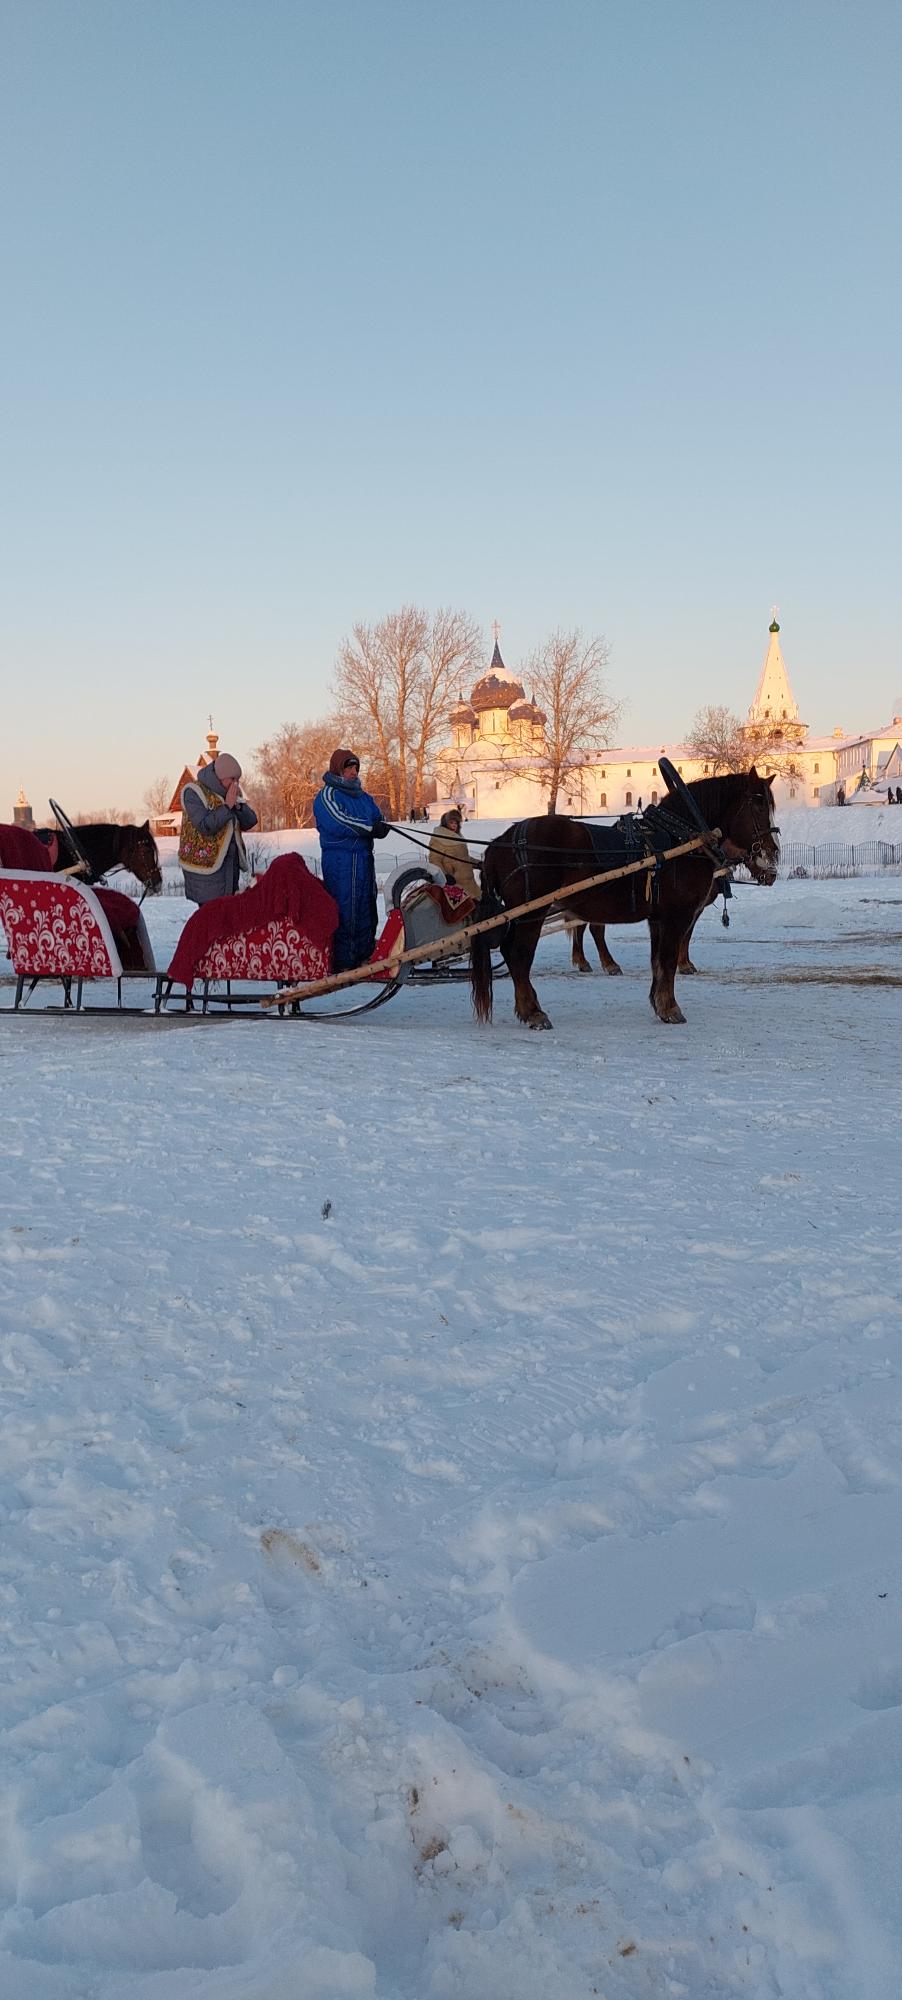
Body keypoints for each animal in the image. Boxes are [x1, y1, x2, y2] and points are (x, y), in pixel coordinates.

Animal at [470, 768, 780, 1032]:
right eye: (757, 805)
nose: (771, 854)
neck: (681, 839)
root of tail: (502, 840)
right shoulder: (677, 916)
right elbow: (669, 959)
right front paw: (671, 1008)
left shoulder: (658, 920)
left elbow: (658, 962)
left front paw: (659, 1004)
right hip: (531, 913)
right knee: (519, 955)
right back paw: (533, 1011)